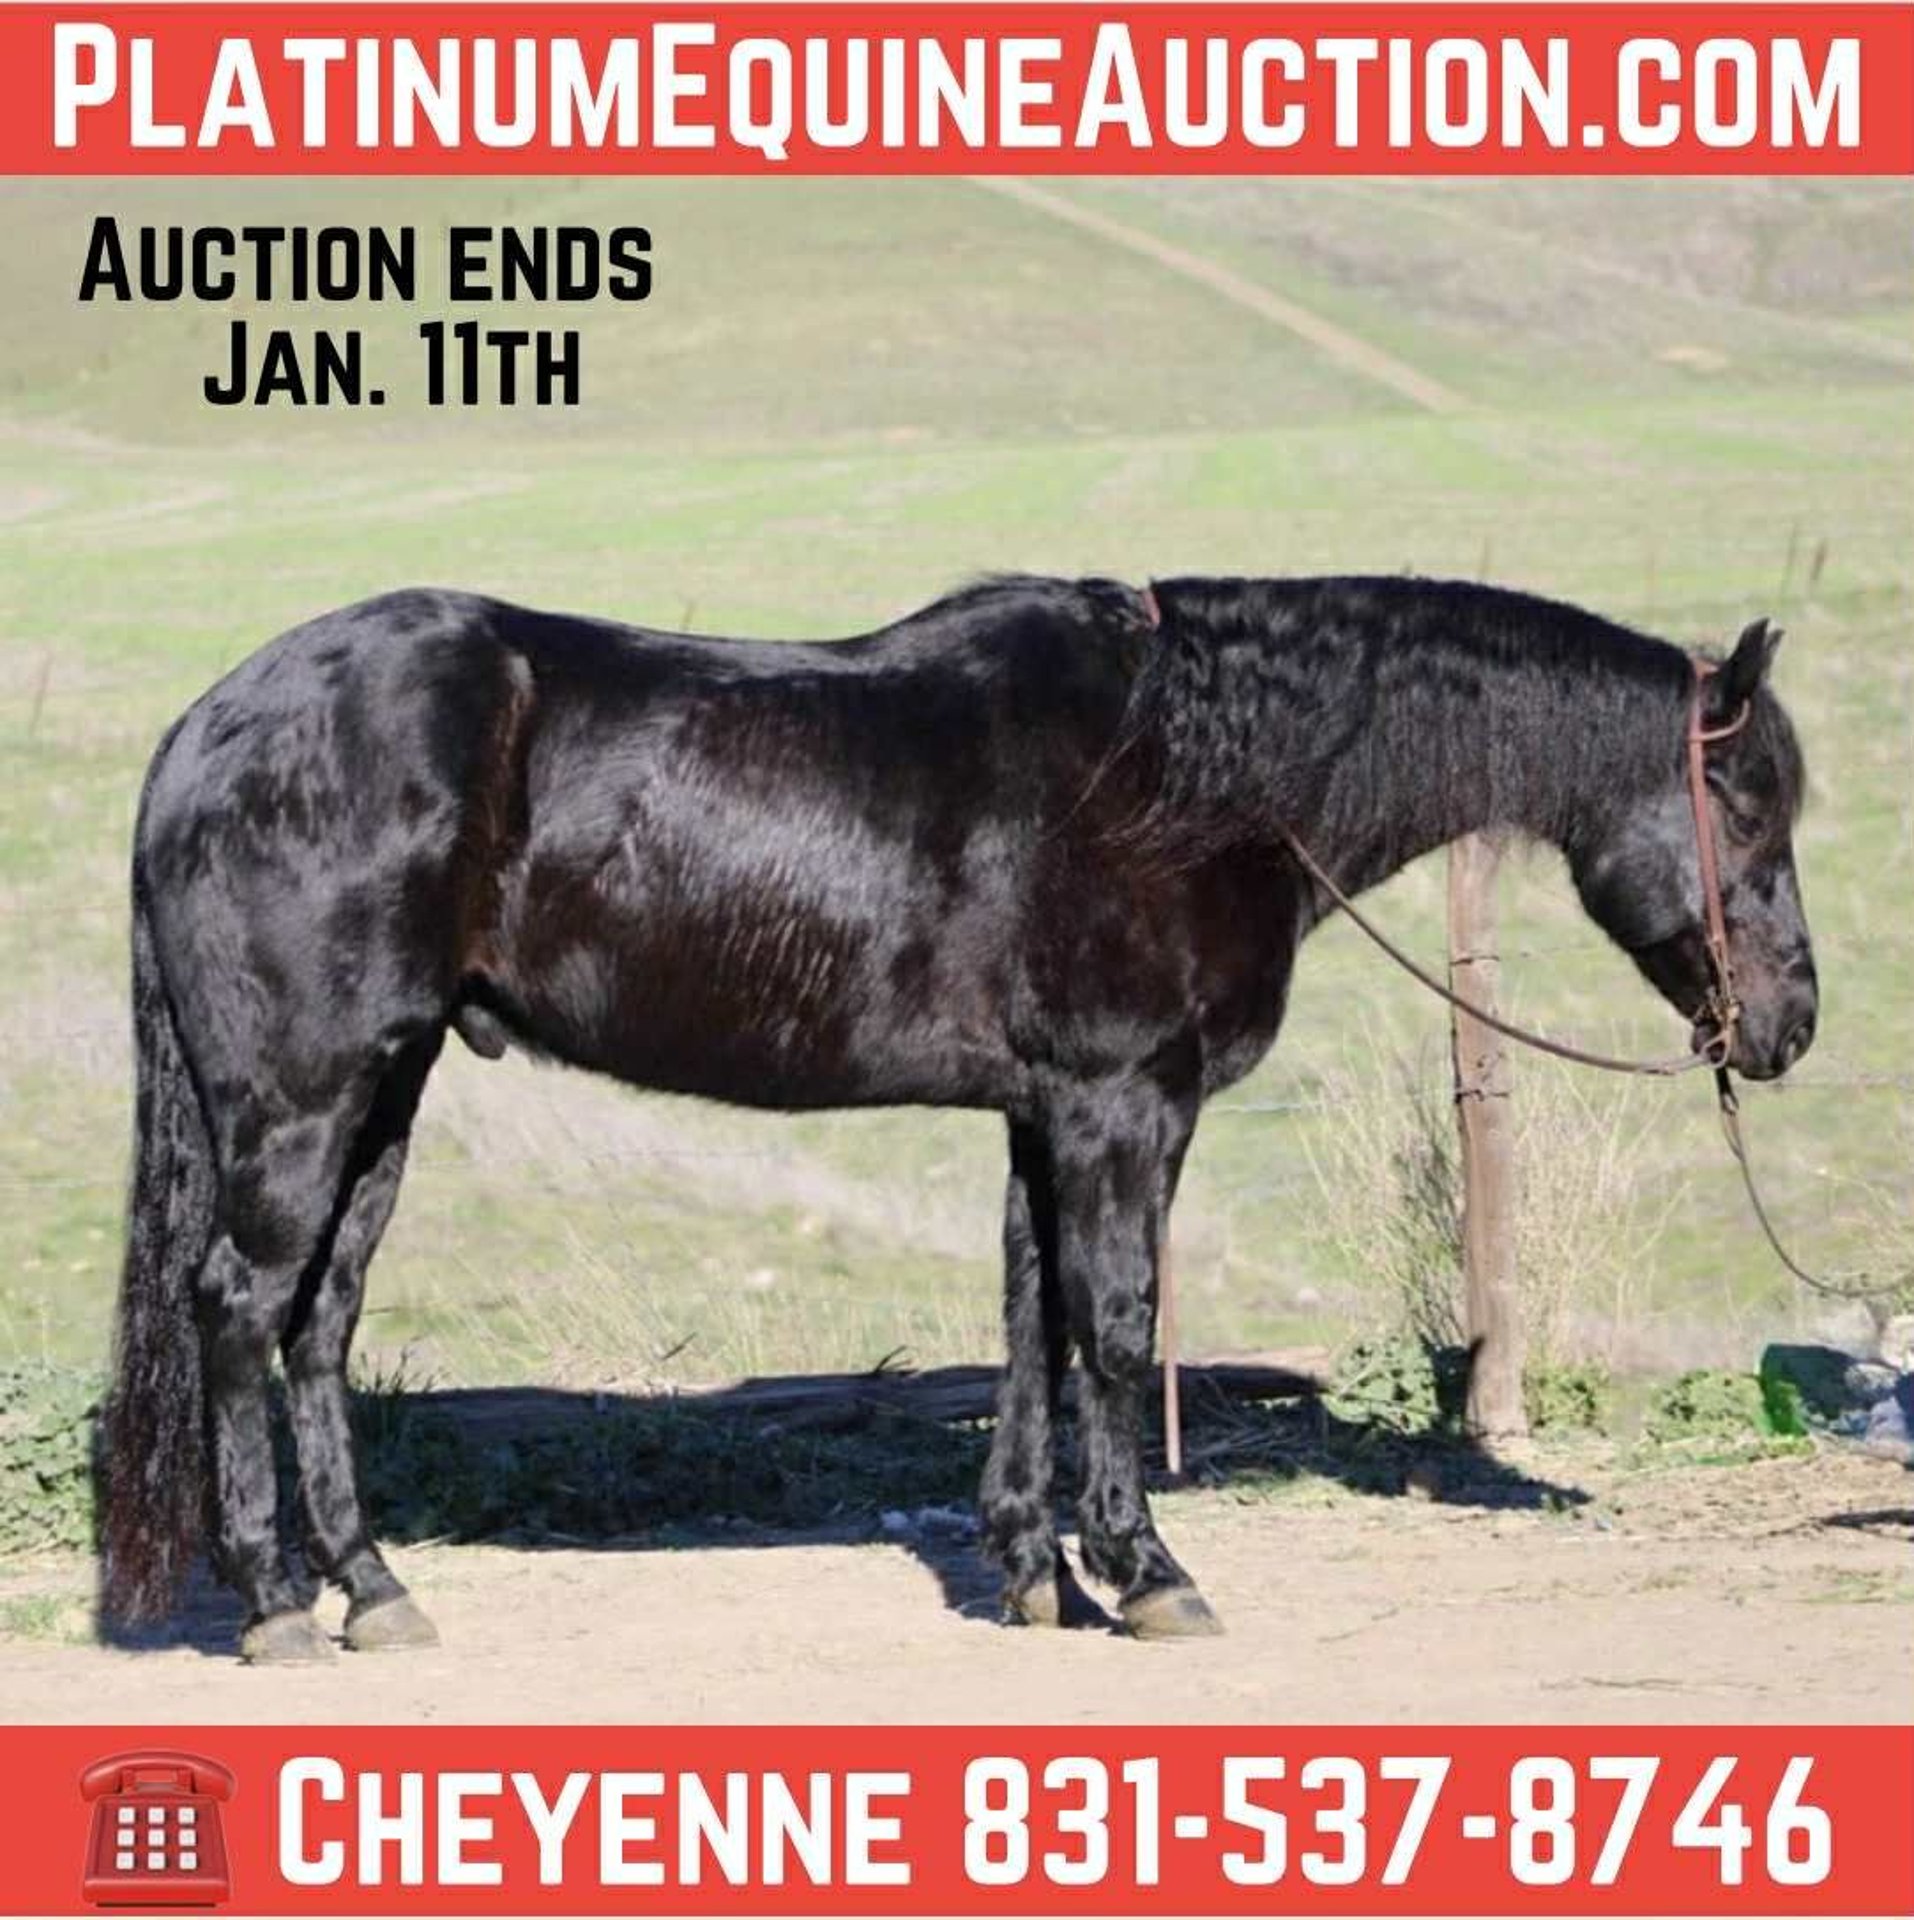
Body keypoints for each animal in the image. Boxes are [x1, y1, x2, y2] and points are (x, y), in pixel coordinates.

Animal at [97, 573, 1816, 1661]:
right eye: (1747, 810)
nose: (1788, 1021)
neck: (1179, 770)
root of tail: (208, 727)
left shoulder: (1045, 1114)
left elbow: (1031, 1323)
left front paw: (1034, 1575)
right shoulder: (1123, 1105)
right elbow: (1112, 1330)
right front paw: (1145, 1573)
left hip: (382, 1096)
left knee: (318, 1325)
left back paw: (372, 1592)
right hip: (306, 1097)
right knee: (238, 1309)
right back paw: (273, 1608)